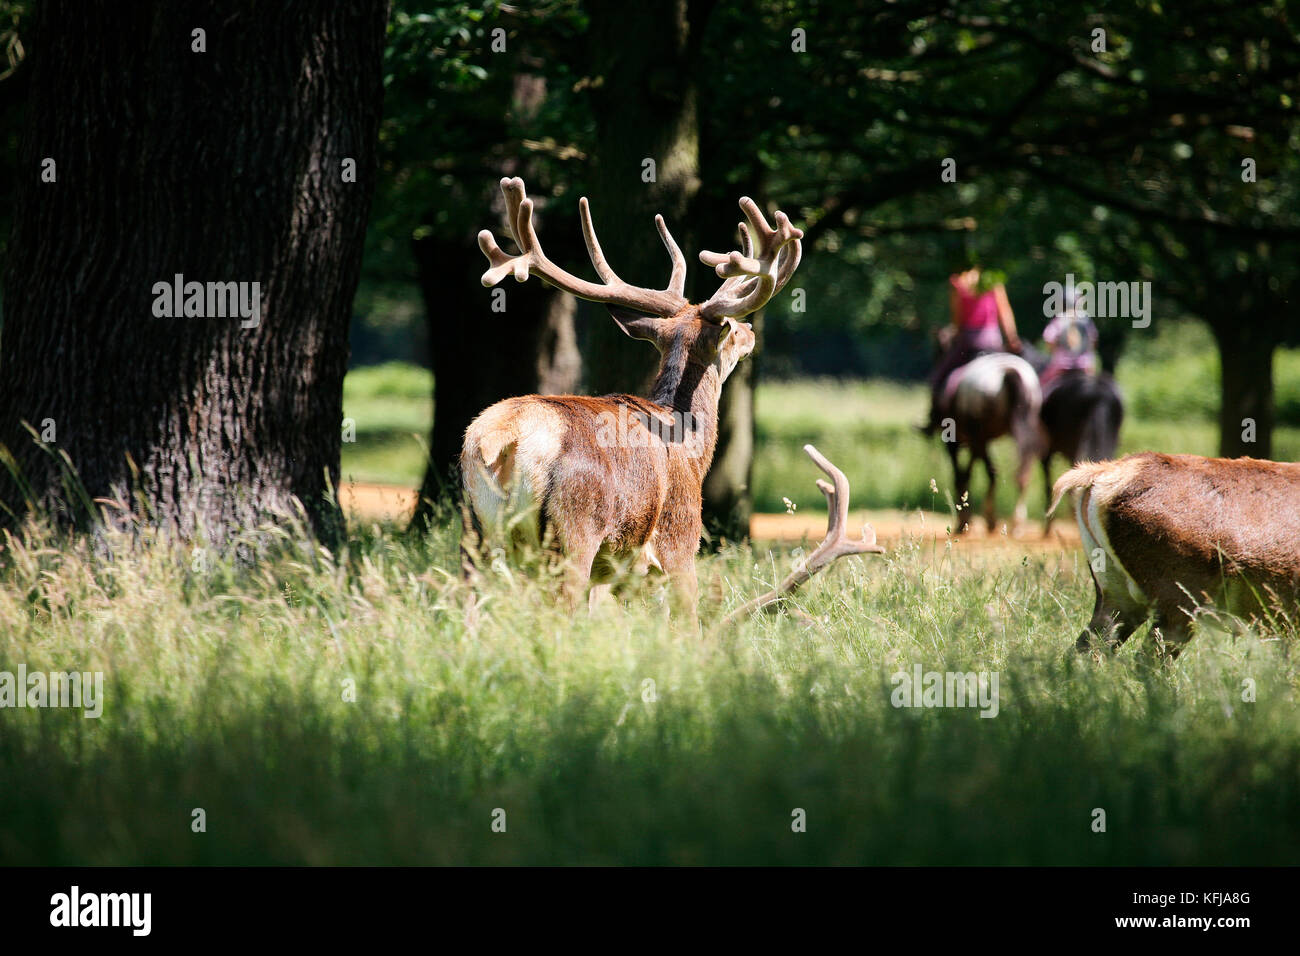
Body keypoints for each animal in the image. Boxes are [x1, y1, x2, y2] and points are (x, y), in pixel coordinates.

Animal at [460, 177, 802, 625]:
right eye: (728, 329)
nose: (749, 331)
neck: (691, 446)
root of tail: (501, 441)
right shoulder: (681, 537)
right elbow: (687, 621)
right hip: (573, 531)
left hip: (473, 533)